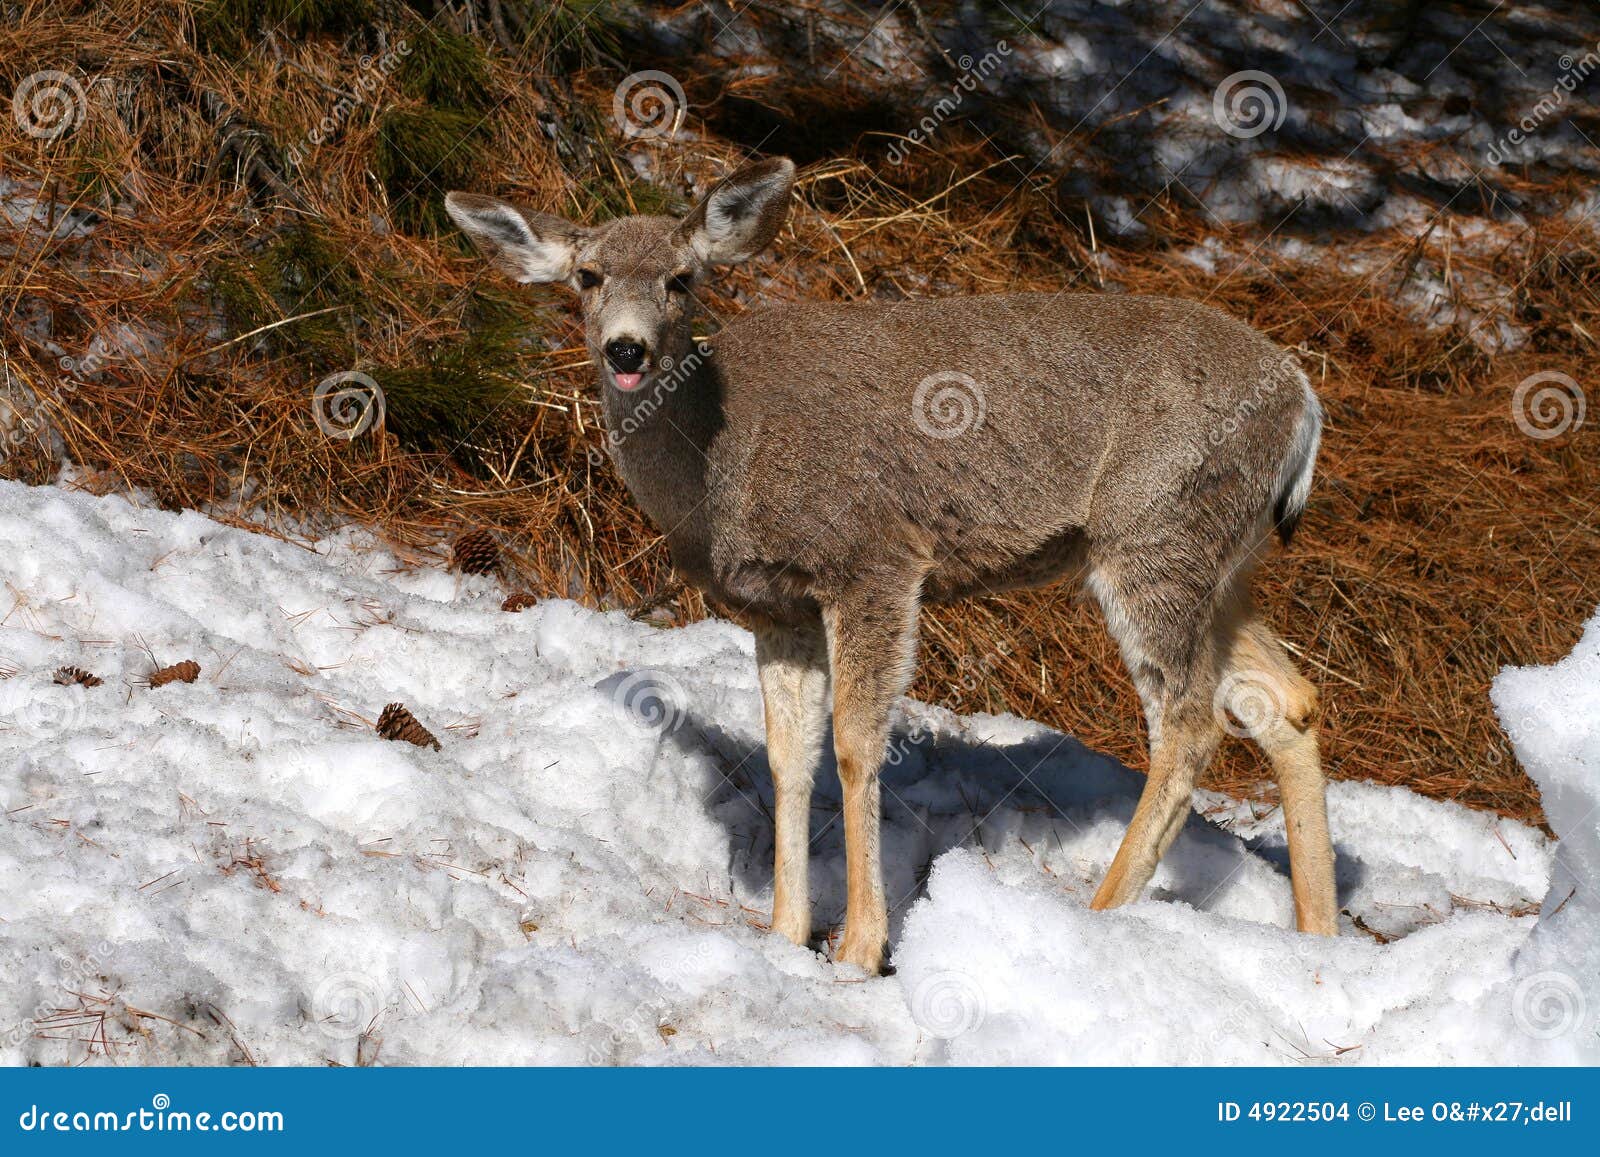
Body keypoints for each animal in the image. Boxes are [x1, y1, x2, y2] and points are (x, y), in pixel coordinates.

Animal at [445, 156, 1337, 974]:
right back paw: (1316, 936)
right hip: (1217, 557)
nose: (626, 348)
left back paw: (1102, 910)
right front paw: (783, 932)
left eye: (681, 278)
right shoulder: (776, 605)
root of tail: (1303, 401)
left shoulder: (872, 557)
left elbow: (854, 744)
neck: (718, 460)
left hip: (1156, 529)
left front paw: (861, 944)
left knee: (1190, 720)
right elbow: (788, 756)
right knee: (1286, 698)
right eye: (588, 275)